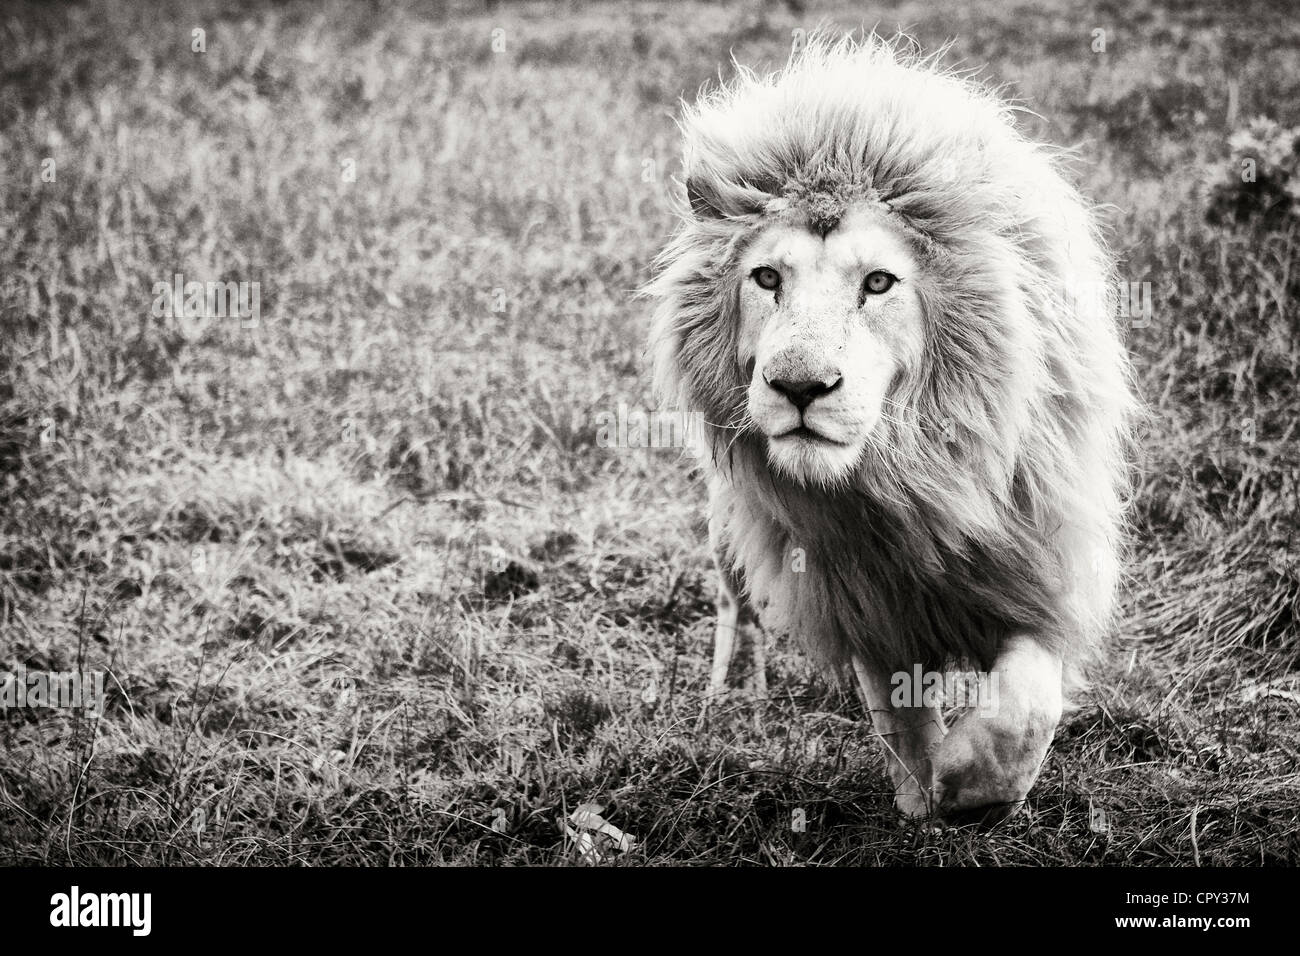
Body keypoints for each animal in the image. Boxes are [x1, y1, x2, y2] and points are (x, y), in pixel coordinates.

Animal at [646, 35, 1138, 821]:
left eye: (878, 282)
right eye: (766, 278)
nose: (799, 387)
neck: (907, 480)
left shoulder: (1041, 563)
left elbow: (1023, 711)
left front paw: (973, 787)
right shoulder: (860, 593)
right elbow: (897, 712)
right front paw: (922, 795)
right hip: (730, 530)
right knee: (735, 606)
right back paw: (735, 692)